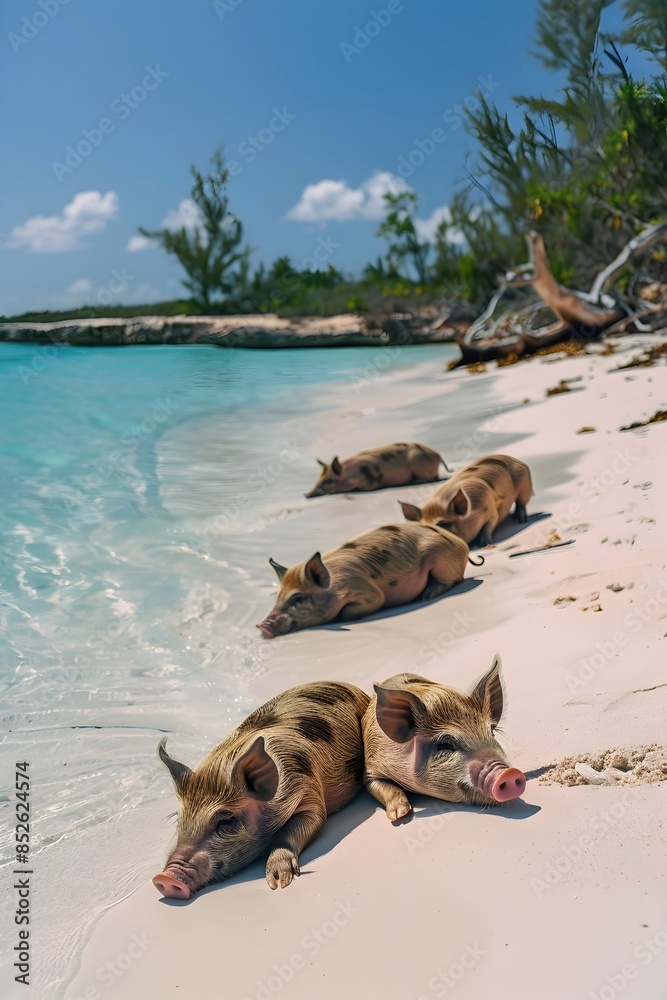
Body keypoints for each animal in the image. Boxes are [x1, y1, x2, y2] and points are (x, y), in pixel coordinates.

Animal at [153, 681, 370, 898]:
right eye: (178, 822)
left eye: (225, 821)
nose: (164, 878)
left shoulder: (307, 788)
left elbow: (301, 826)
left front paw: (278, 882)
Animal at [258, 522, 478, 638]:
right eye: (277, 598)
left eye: (298, 599)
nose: (262, 625)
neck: (335, 587)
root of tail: (462, 544)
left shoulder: (367, 591)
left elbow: (360, 607)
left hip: (440, 560)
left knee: (454, 580)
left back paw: (427, 596)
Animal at [305, 441, 446, 497]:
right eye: (319, 479)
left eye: (327, 481)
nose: (306, 494)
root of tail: (437, 455)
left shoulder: (370, 483)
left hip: (418, 463)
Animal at [362, 654, 526, 821]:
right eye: (444, 745)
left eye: (492, 732)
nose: (509, 772)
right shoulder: (371, 767)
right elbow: (380, 786)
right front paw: (400, 815)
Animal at [400, 453, 534, 546]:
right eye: (422, 526)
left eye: (442, 524)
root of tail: (517, 460)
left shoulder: (491, 510)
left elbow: (489, 526)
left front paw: (483, 544)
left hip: (525, 487)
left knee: (521, 504)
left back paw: (521, 520)